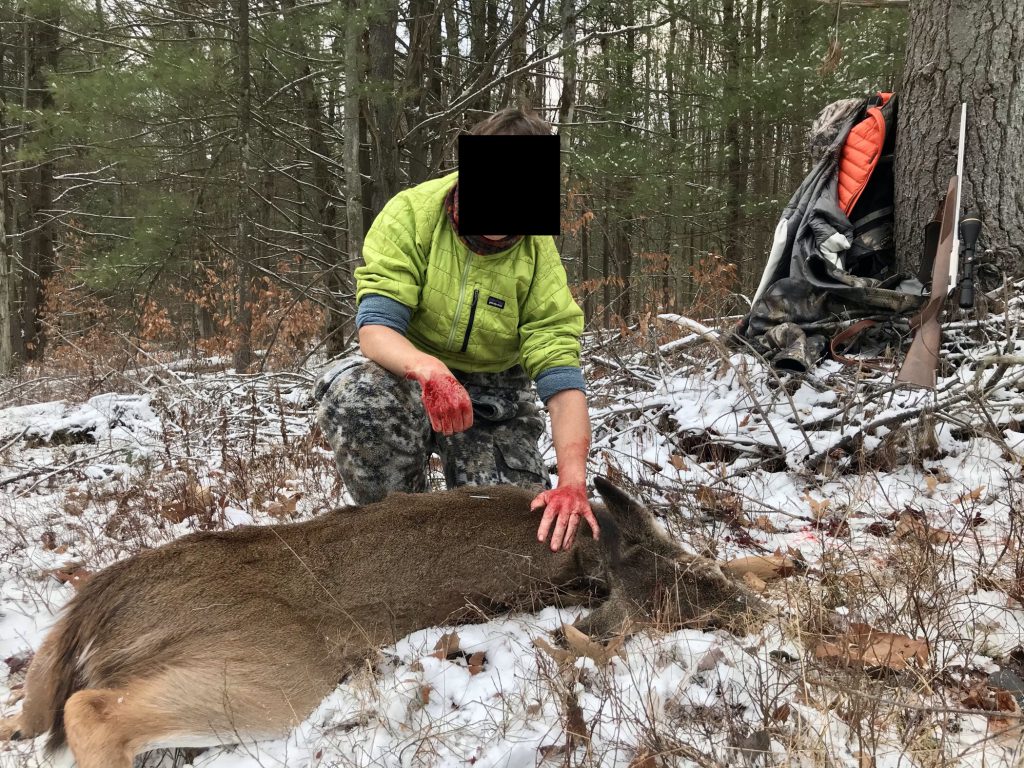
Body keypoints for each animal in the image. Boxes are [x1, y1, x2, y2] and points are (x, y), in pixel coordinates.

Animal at [0, 477, 762, 767]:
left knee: (28, 714)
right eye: (690, 591)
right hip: (271, 673)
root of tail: (95, 606)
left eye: (709, 576)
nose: (752, 617)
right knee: (90, 711)